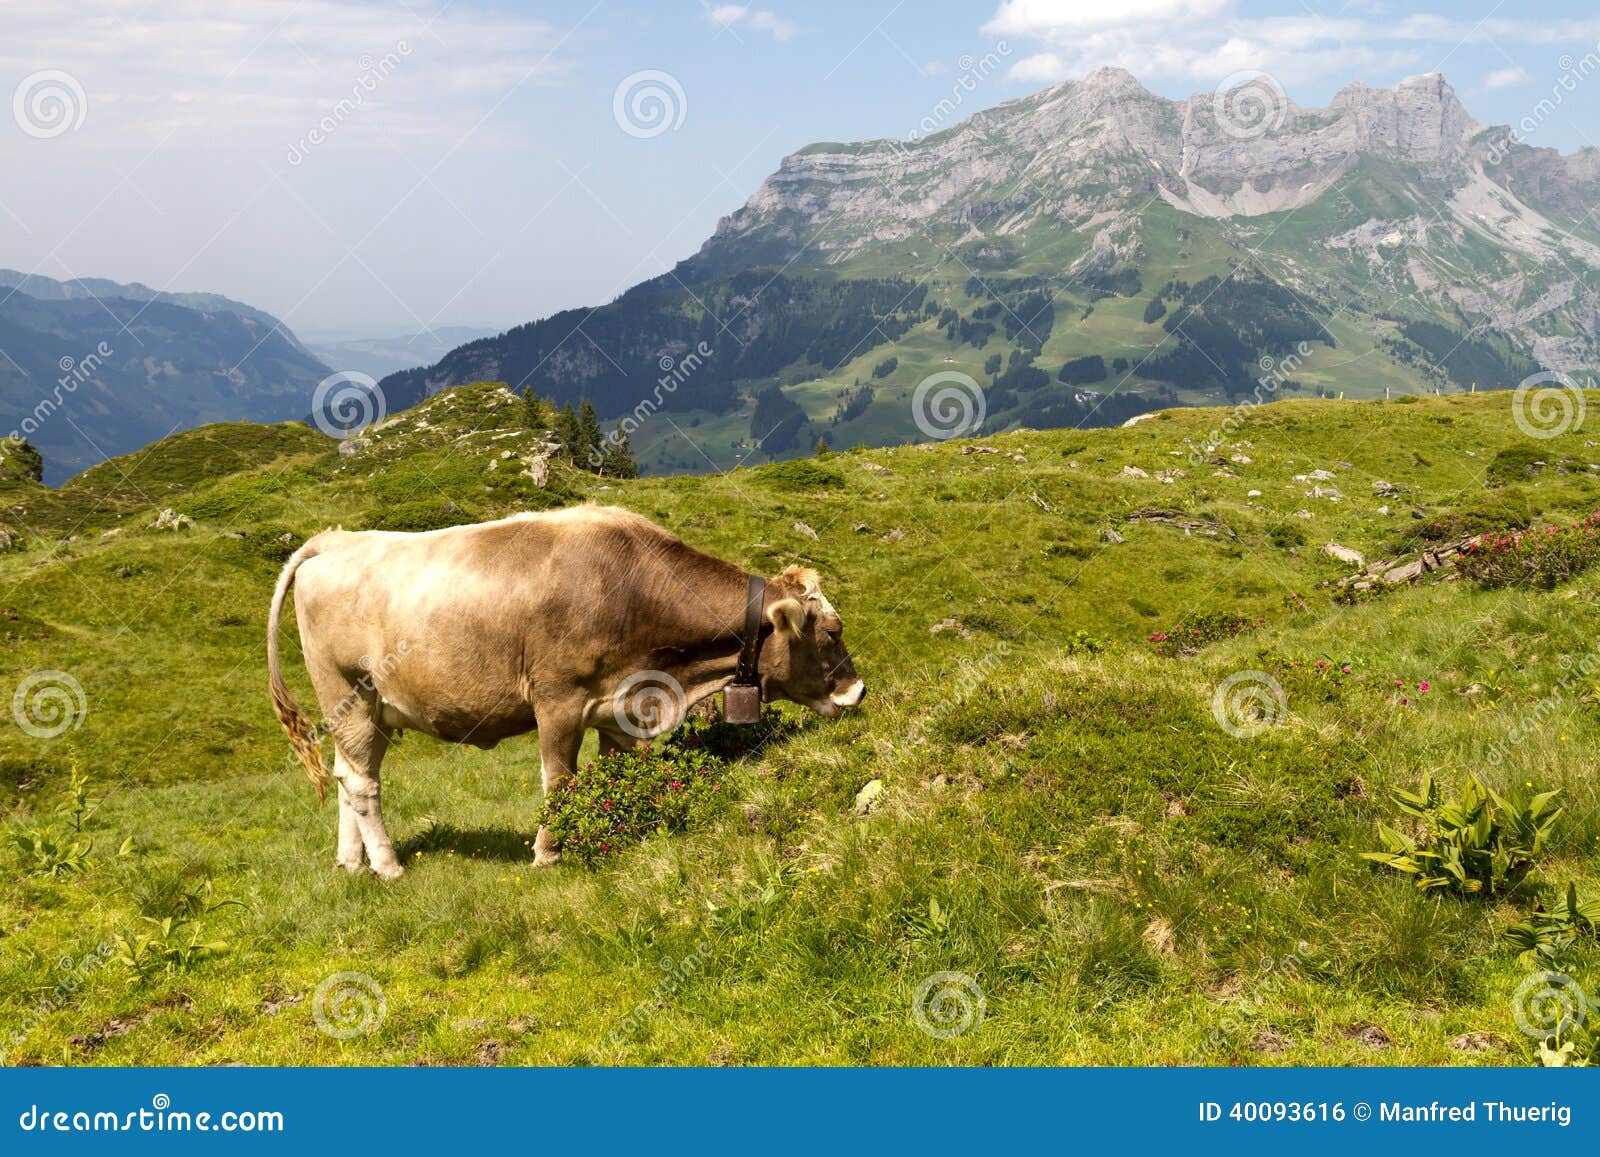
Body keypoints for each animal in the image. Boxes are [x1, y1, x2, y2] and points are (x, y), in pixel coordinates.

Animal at [267, 505, 865, 878]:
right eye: (832, 632)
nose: (857, 691)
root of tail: (335, 540)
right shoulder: (559, 700)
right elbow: (558, 781)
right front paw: (549, 854)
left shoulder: (623, 706)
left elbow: (619, 773)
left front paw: (623, 837)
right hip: (346, 691)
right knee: (361, 781)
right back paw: (389, 866)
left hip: (369, 710)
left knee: (348, 773)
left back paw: (352, 862)